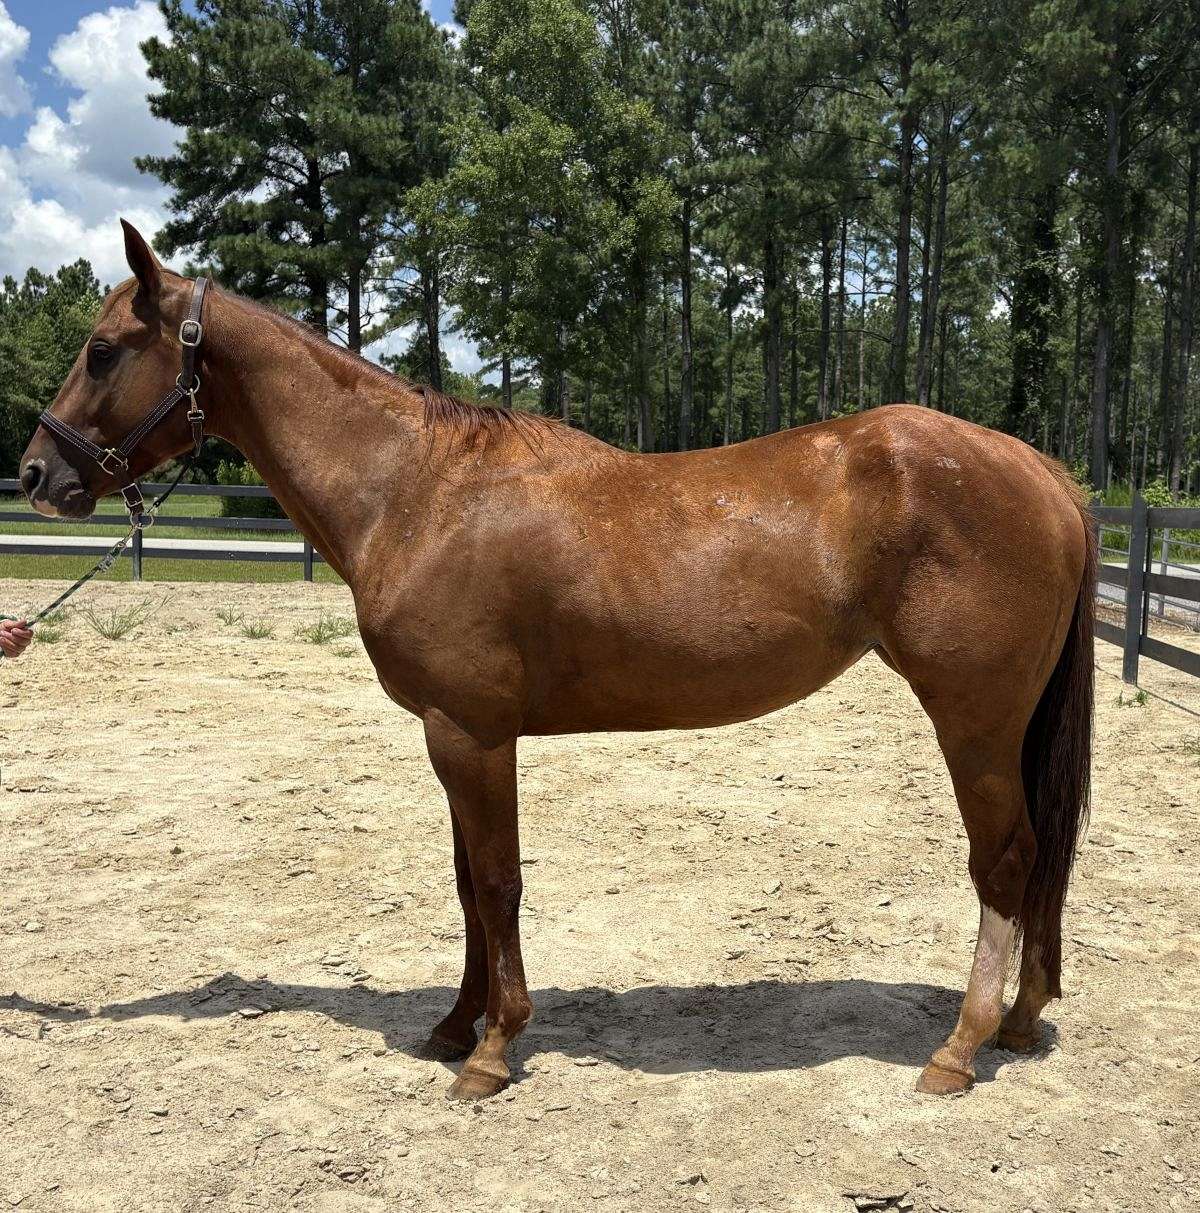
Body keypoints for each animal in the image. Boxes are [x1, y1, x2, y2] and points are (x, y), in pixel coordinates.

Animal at [19, 222, 1096, 1101]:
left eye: (103, 350)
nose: (37, 471)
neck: (414, 490)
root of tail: (1045, 472)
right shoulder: (453, 736)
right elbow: (466, 885)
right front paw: (455, 1025)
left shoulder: (471, 734)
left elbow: (497, 883)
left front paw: (494, 1049)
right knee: (1037, 862)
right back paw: (1021, 1017)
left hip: (974, 724)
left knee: (1006, 861)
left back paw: (960, 1046)